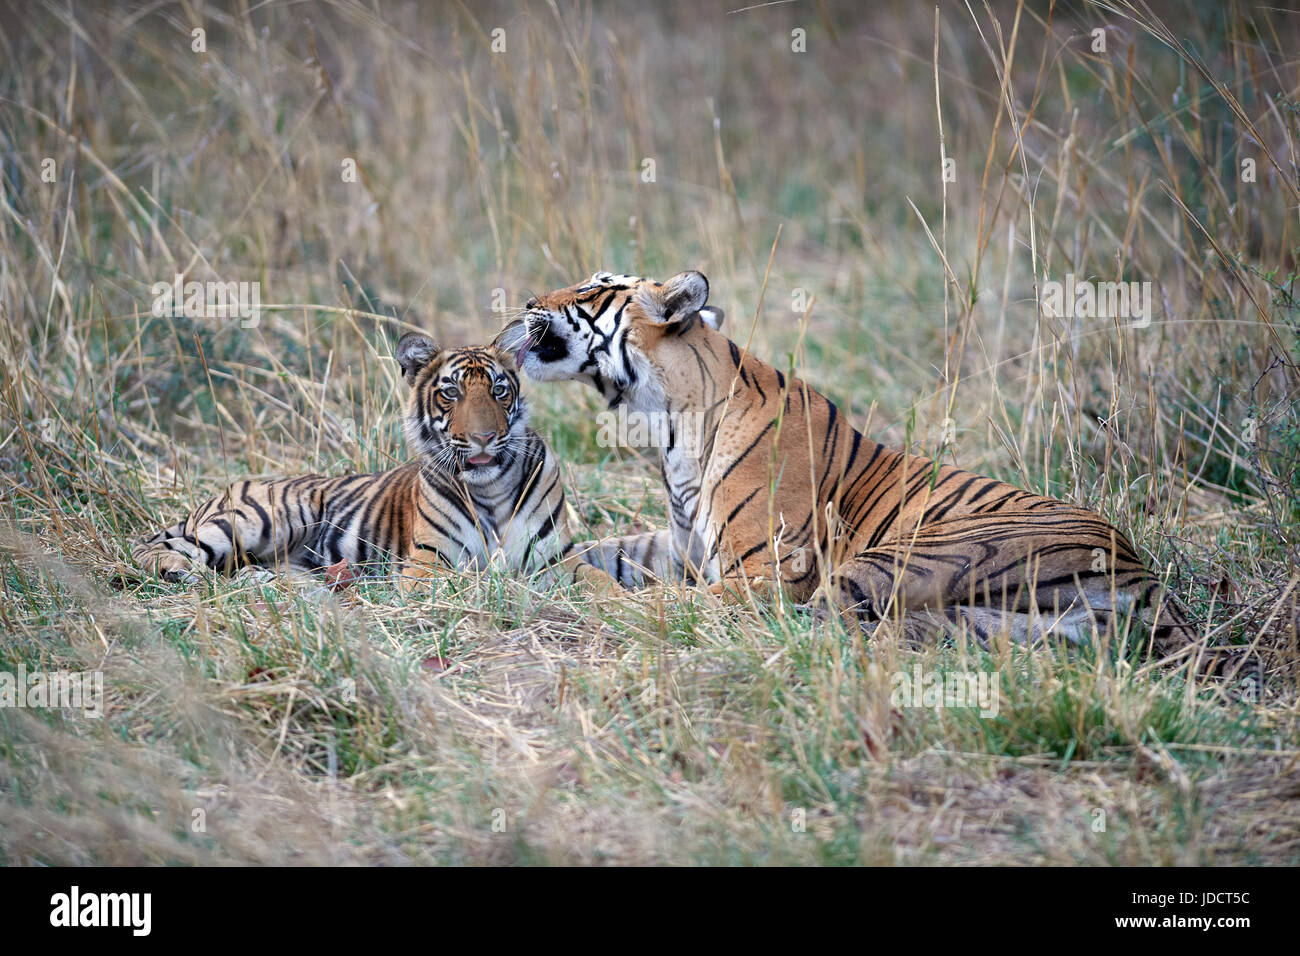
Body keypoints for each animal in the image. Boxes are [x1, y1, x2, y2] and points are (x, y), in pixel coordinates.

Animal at [132, 334, 616, 594]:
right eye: (451, 393)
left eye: (499, 390)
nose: (483, 437)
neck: (491, 488)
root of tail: (226, 490)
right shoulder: (428, 564)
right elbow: (476, 580)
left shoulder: (555, 558)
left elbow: (598, 579)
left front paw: (630, 601)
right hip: (258, 518)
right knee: (152, 549)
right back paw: (183, 571)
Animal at [494, 269, 1211, 663]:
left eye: (594, 288)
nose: (525, 300)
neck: (664, 420)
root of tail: (1147, 577)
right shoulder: (680, 543)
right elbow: (608, 549)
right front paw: (536, 564)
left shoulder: (766, 569)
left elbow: (667, 595)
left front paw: (574, 588)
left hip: (908, 554)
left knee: (812, 623)